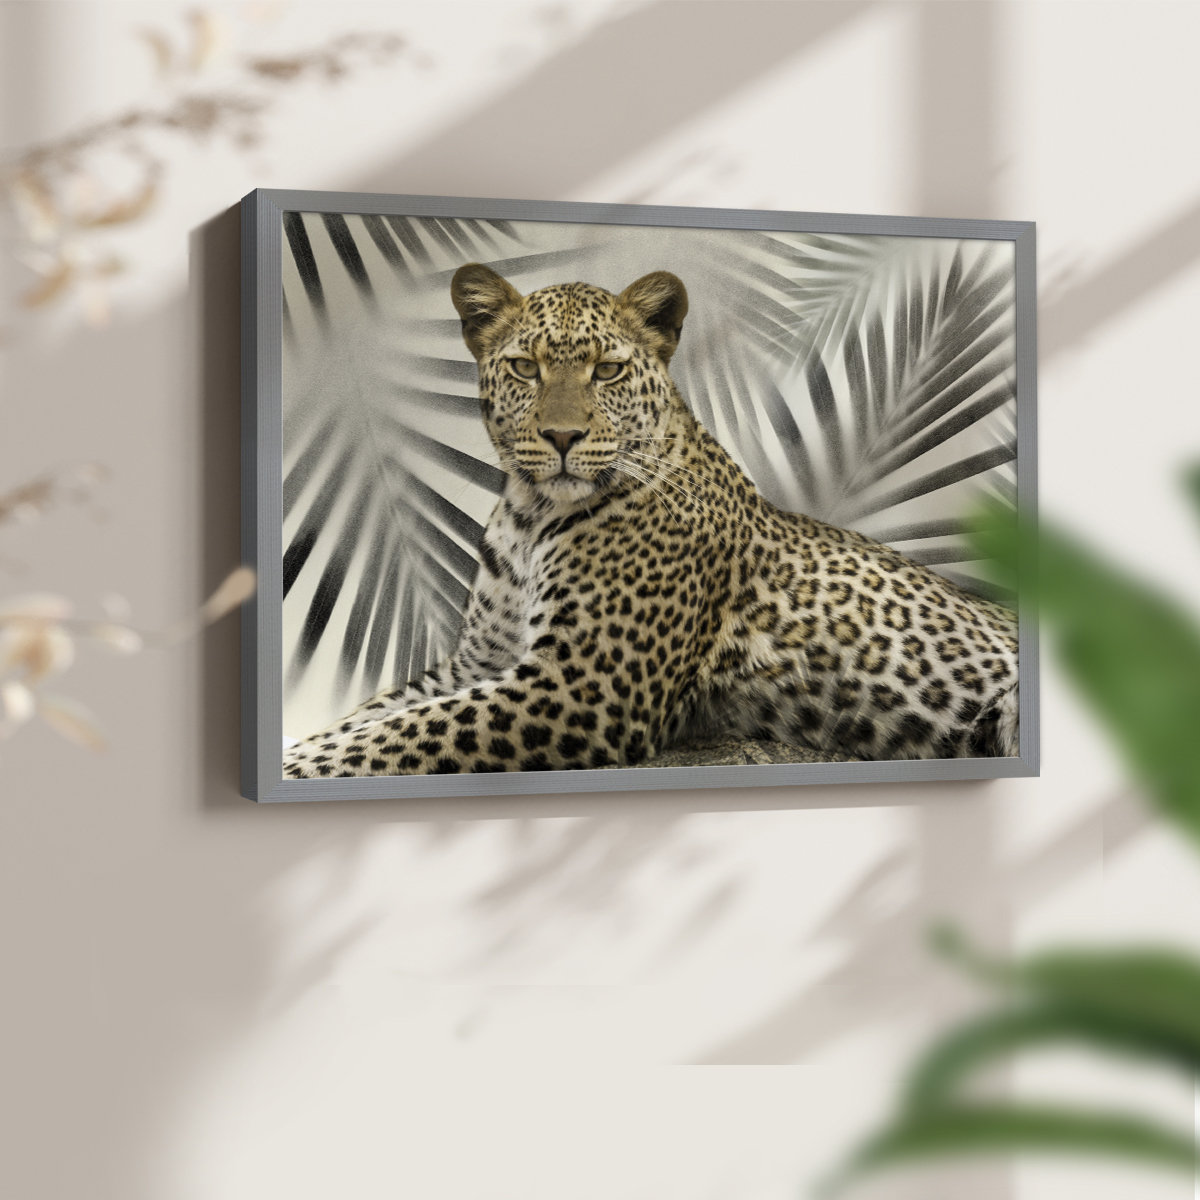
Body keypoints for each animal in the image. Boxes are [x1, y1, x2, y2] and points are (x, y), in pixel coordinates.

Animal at [283, 263, 1018, 779]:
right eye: (524, 366)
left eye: (608, 370)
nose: (562, 437)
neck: (529, 516)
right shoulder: (477, 663)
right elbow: (374, 717)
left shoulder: (581, 686)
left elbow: (399, 734)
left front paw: (297, 765)